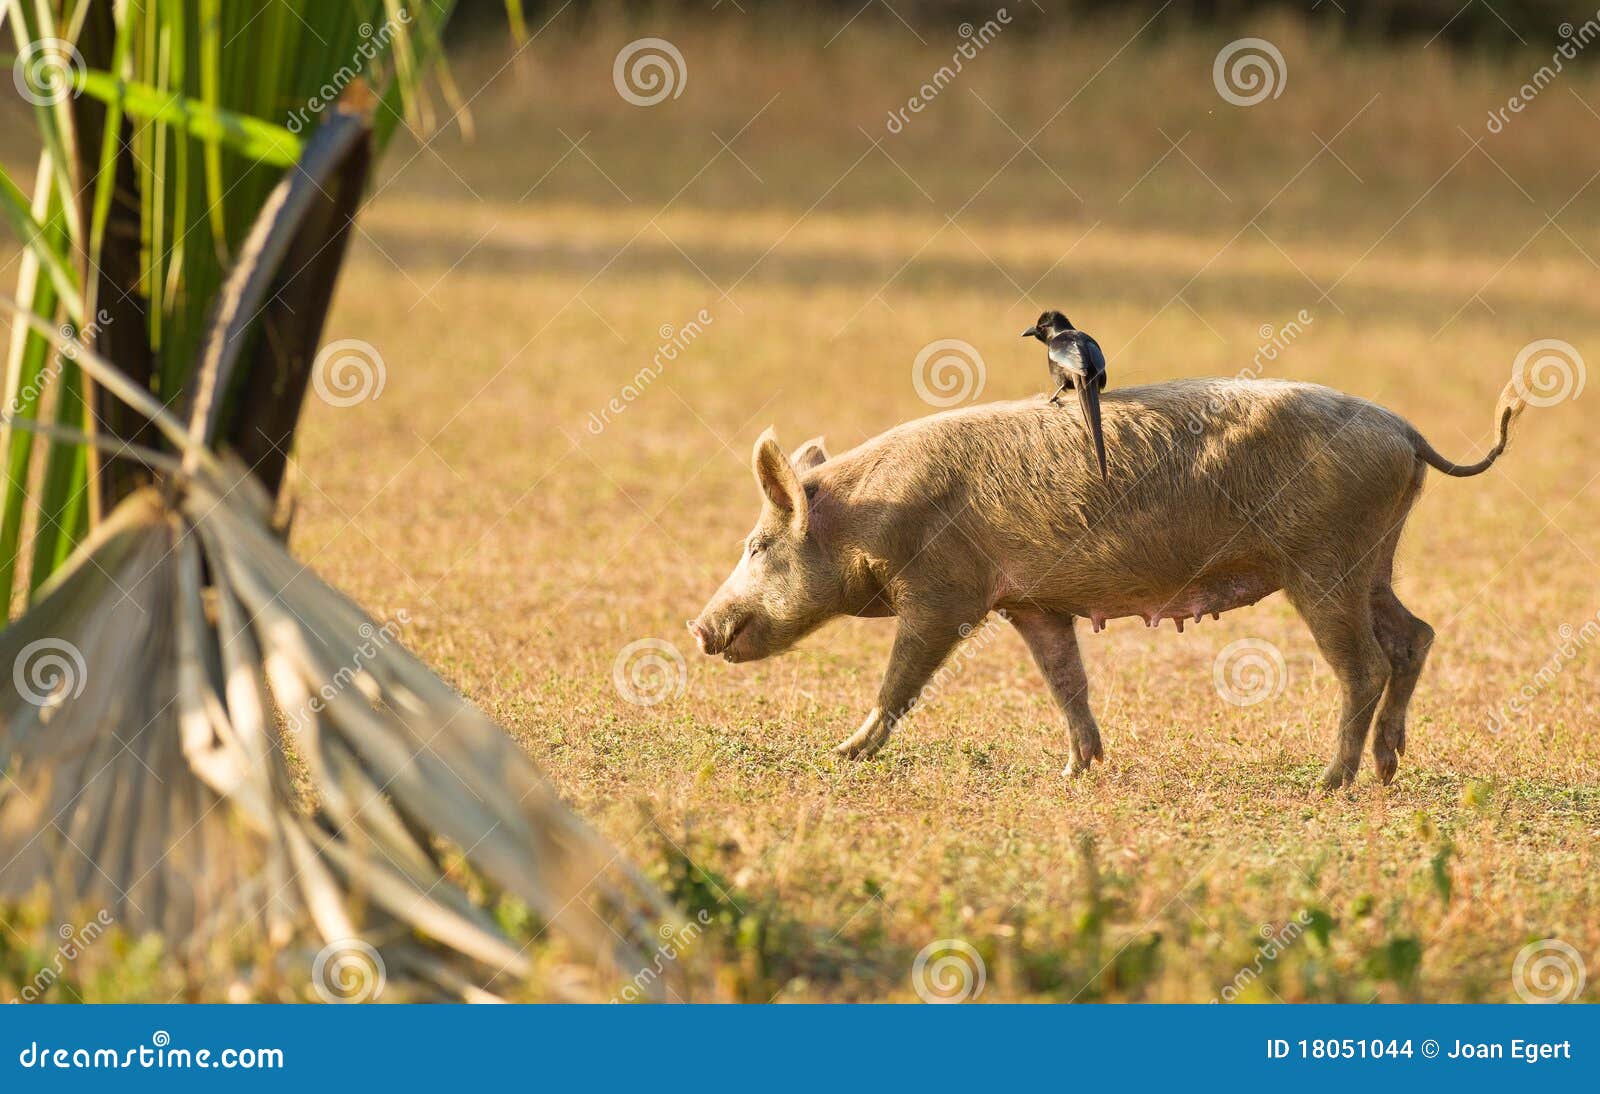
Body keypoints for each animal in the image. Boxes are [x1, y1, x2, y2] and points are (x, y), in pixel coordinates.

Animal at [688, 377, 1526, 788]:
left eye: (757, 544)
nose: (697, 627)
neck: (874, 519)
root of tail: (1405, 432)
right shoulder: (1031, 605)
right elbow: (1066, 680)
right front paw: (1076, 769)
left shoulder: (945, 593)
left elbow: (902, 677)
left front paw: (843, 752)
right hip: (1373, 558)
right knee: (1416, 636)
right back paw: (1386, 768)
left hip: (1325, 562)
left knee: (1367, 663)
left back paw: (1331, 782)